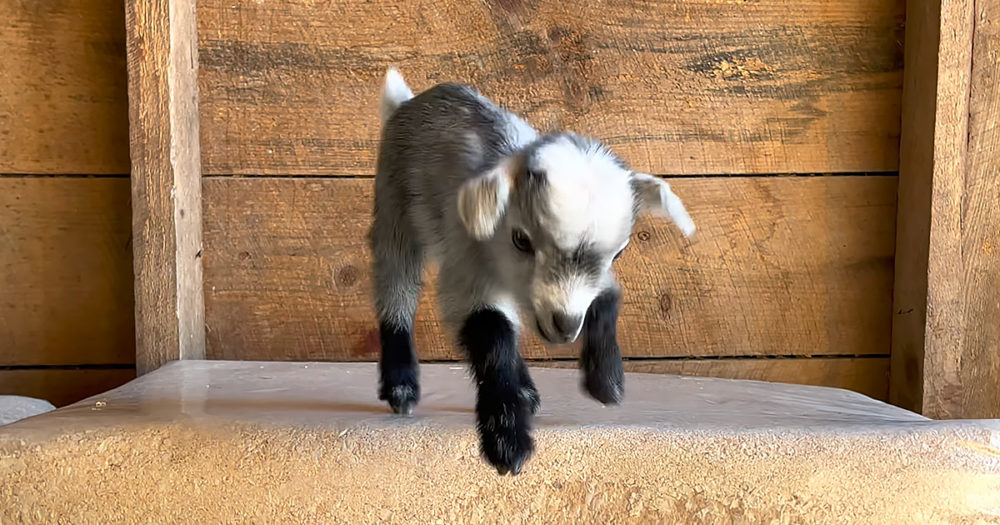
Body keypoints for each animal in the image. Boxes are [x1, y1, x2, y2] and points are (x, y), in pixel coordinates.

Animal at [370, 68, 695, 475]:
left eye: (620, 253)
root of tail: (407, 102)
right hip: (394, 209)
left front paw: (606, 380)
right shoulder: (467, 262)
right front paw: (507, 439)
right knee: (395, 289)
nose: (566, 325)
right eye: (521, 239)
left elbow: (607, 294)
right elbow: (491, 333)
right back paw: (401, 386)